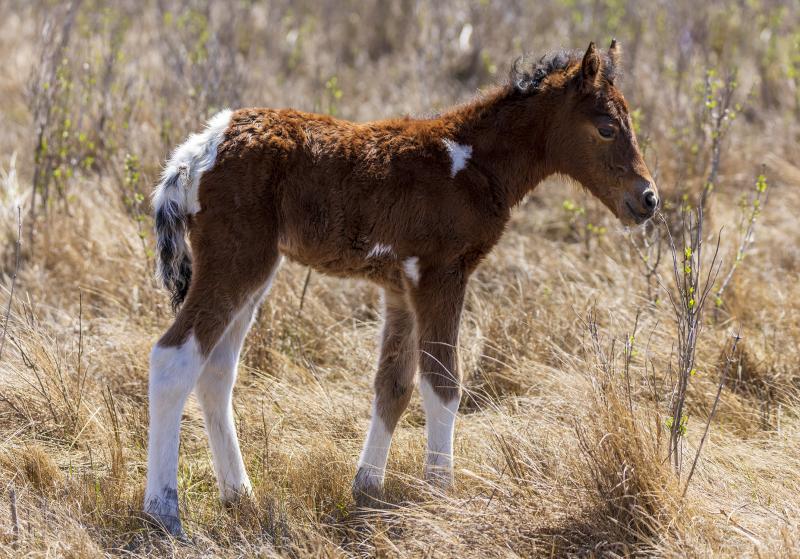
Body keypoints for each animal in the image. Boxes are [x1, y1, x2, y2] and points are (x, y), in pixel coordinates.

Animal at [144, 41, 658, 537]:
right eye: (607, 128)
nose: (648, 199)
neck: (469, 163)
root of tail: (199, 149)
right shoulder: (440, 274)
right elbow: (443, 382)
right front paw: (441, 493)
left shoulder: (400, 288)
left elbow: (393, 385)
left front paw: (367, 487)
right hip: (236, 259)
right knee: (174, 359)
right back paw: (164, 511)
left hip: (254, 270)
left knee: (215, 371)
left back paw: (240, 495)